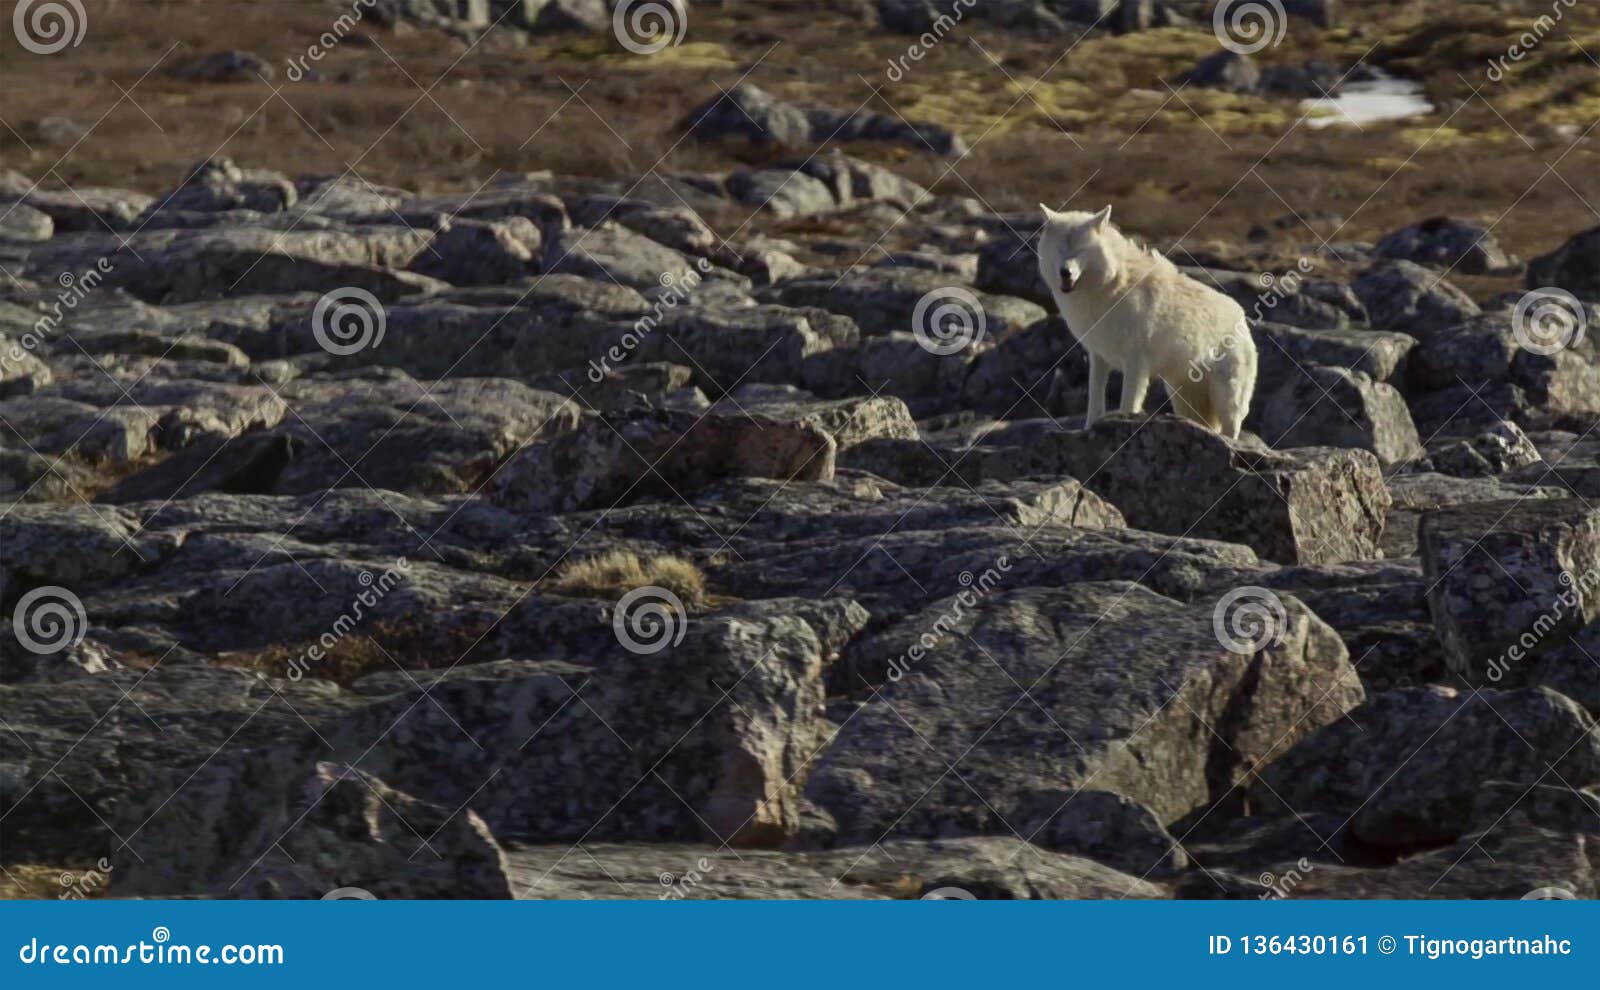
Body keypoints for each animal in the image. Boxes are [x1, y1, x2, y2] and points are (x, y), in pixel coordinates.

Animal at [1036, 204, 1258, 438]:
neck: (1111, 287)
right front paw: (1088, 430)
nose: (1065, 273)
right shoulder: (1098, 356)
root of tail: (1242, 317)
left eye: (1080, 251)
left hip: (1226, 398)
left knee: (1231, 429)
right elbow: (1095, 401)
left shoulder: (1136, 362)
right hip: (1182, 397)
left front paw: (1122, 424)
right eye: (1060, 249)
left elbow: (1128, 403)